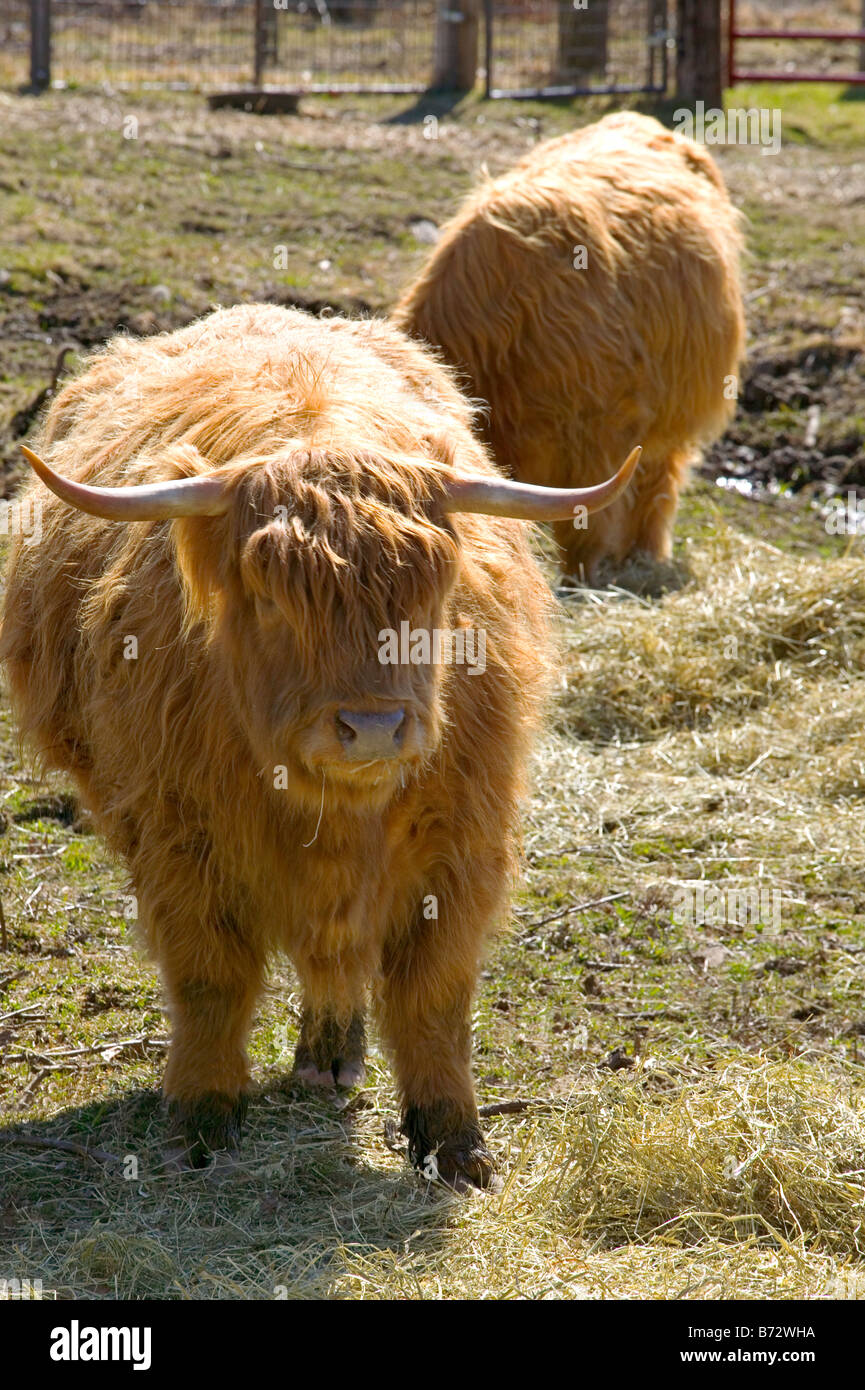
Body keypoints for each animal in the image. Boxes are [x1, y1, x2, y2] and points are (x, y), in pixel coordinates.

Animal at [0, 303, 638, 1190]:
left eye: (433, 591)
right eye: (270, 596)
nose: (371, 727)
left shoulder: (465, 838)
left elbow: (434, 991)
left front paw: (455, 1142)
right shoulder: (176, 834)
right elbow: (209, 976)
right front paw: (201, 1118)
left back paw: (333, 1056)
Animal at [392, 111, 746, 583]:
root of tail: (639, 120)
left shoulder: (600, 431)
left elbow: (588, 520)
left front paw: (581, 580)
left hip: (676, 399)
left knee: (659, 478)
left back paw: (645, 555)